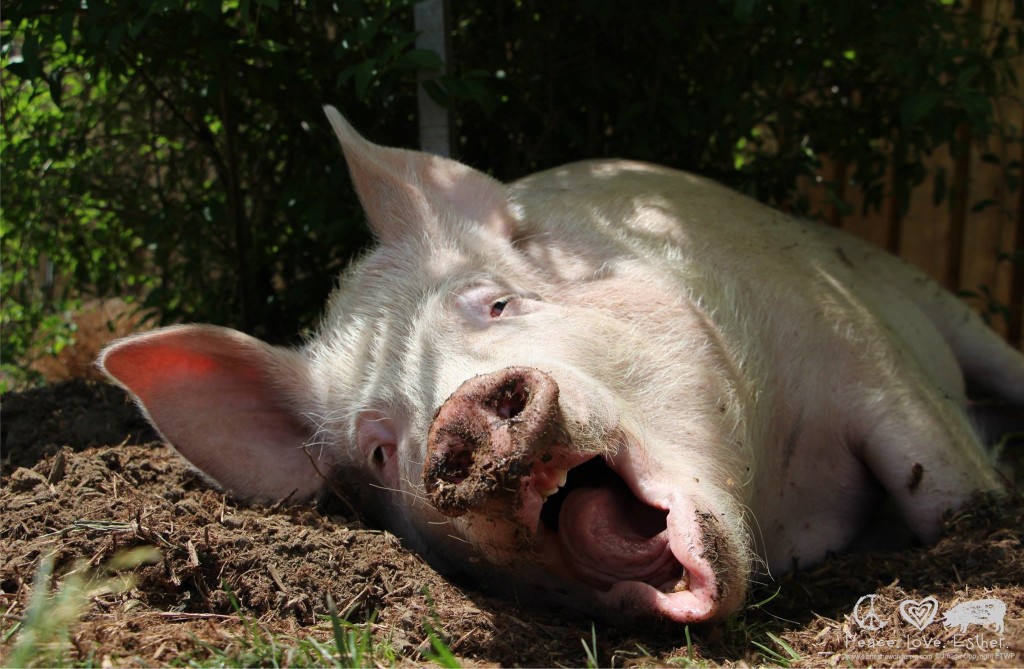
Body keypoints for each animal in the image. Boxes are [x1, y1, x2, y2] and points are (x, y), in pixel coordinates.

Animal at [97, 106, 1023, 624]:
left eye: (498, 303)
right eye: (377, 449)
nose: (462, 411)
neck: (784, 510)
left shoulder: (841, 330)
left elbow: (936, 474)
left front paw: (983, 516)